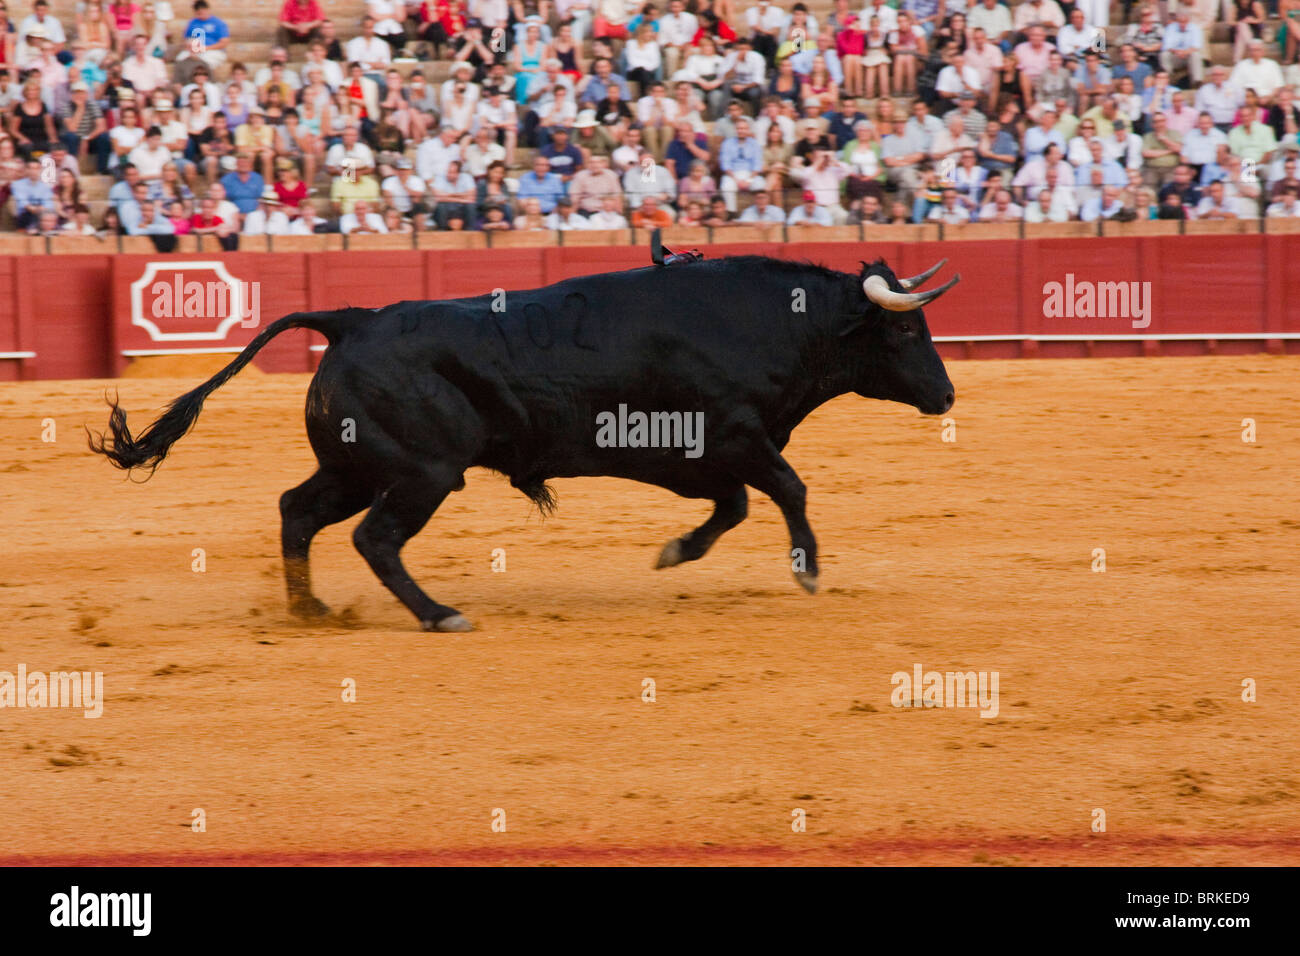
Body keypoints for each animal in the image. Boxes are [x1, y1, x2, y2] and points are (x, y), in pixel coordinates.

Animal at [89, 254, 958, 632]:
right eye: (905, 329)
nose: (947, 394)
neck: (774, 319)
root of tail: (352, 320)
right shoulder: (734, 437)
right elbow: (785, 488)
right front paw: (807, 571)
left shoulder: (698, 457)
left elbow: (737, 505)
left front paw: (676, 551)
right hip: (424, 472)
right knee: (375, 538)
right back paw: (438, 615)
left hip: (353, 465)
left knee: (297, 511)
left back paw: (312, 610)